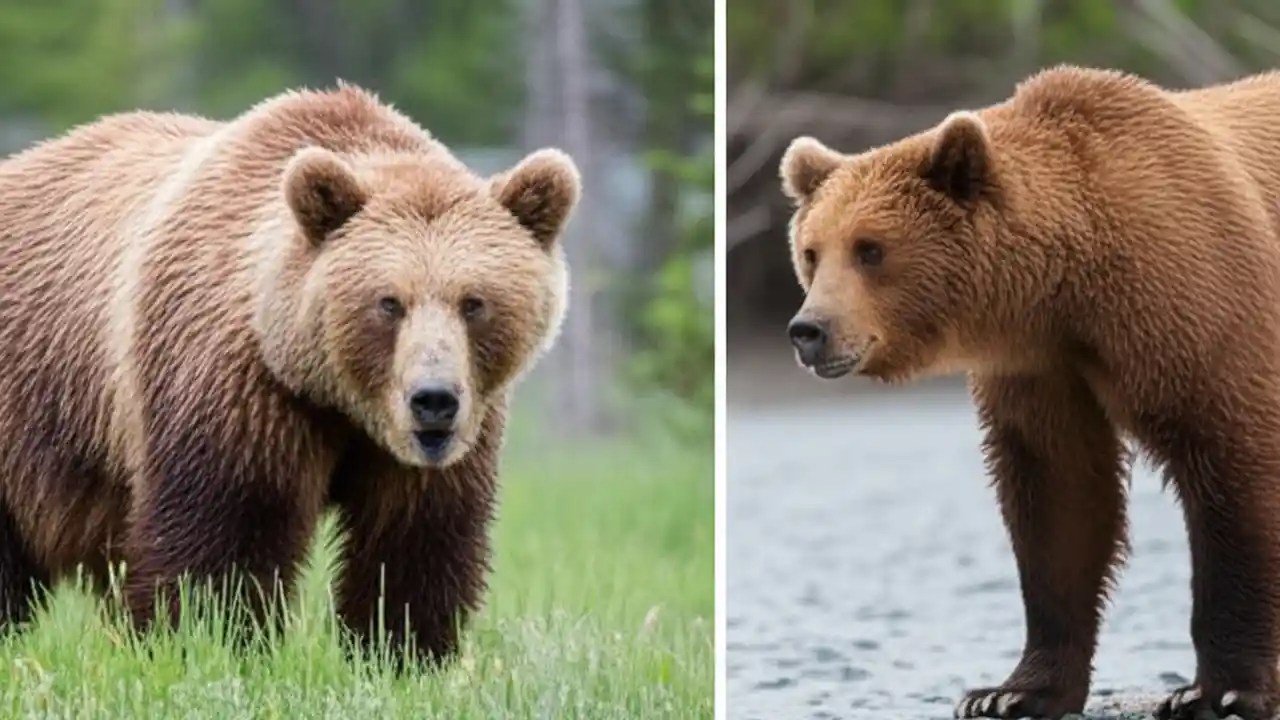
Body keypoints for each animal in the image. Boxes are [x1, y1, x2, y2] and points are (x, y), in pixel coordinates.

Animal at [0, 83, 578, 663]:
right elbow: (225, 533)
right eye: (388, 302)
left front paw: (401, 650)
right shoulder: (238, 389)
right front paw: (210, 639)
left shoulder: (450, 440)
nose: (433, 399)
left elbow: (414, 540)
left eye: (474, 303)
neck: (337, 397)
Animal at [779, 65, 1280, 720]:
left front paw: (1219, 690)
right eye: (812, 252)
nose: (809, 331)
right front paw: (1010, 691)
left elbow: (1230, 465)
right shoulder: (1039, 364)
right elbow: (1058, 499)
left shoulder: (1198, 306)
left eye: (871, 248)